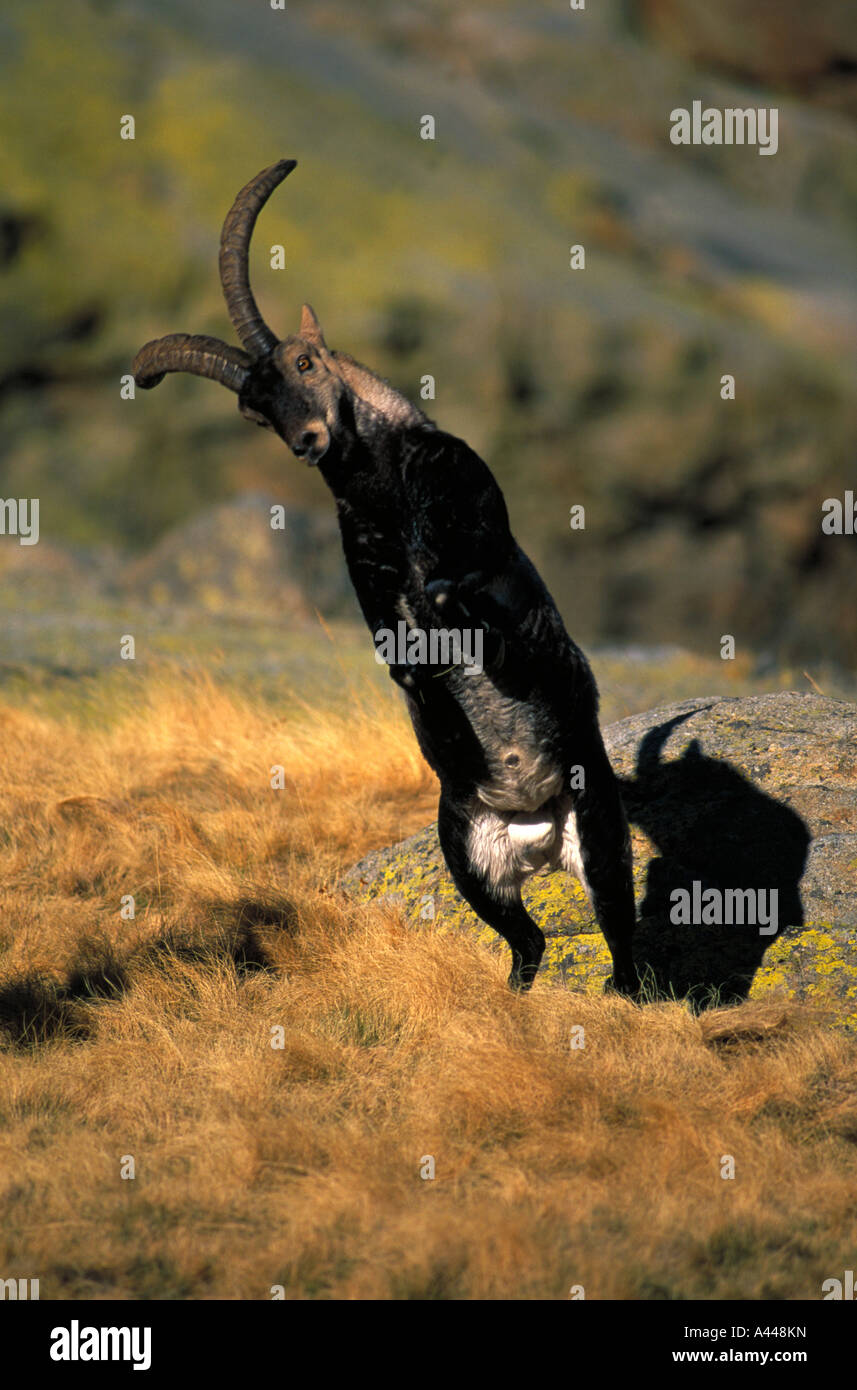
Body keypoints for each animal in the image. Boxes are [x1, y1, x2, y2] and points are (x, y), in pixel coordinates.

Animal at [132, 159, 639, 996]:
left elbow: (465, 592)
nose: (307, 440)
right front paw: (422, 681)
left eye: (306, 363)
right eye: (255, 409)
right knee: (527, 942)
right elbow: (396, 635)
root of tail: (536, 834)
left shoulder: (469, 518)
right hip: (466, 855)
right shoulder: (367, 569)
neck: (387, 490)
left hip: (596, 824)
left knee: (619, 937)